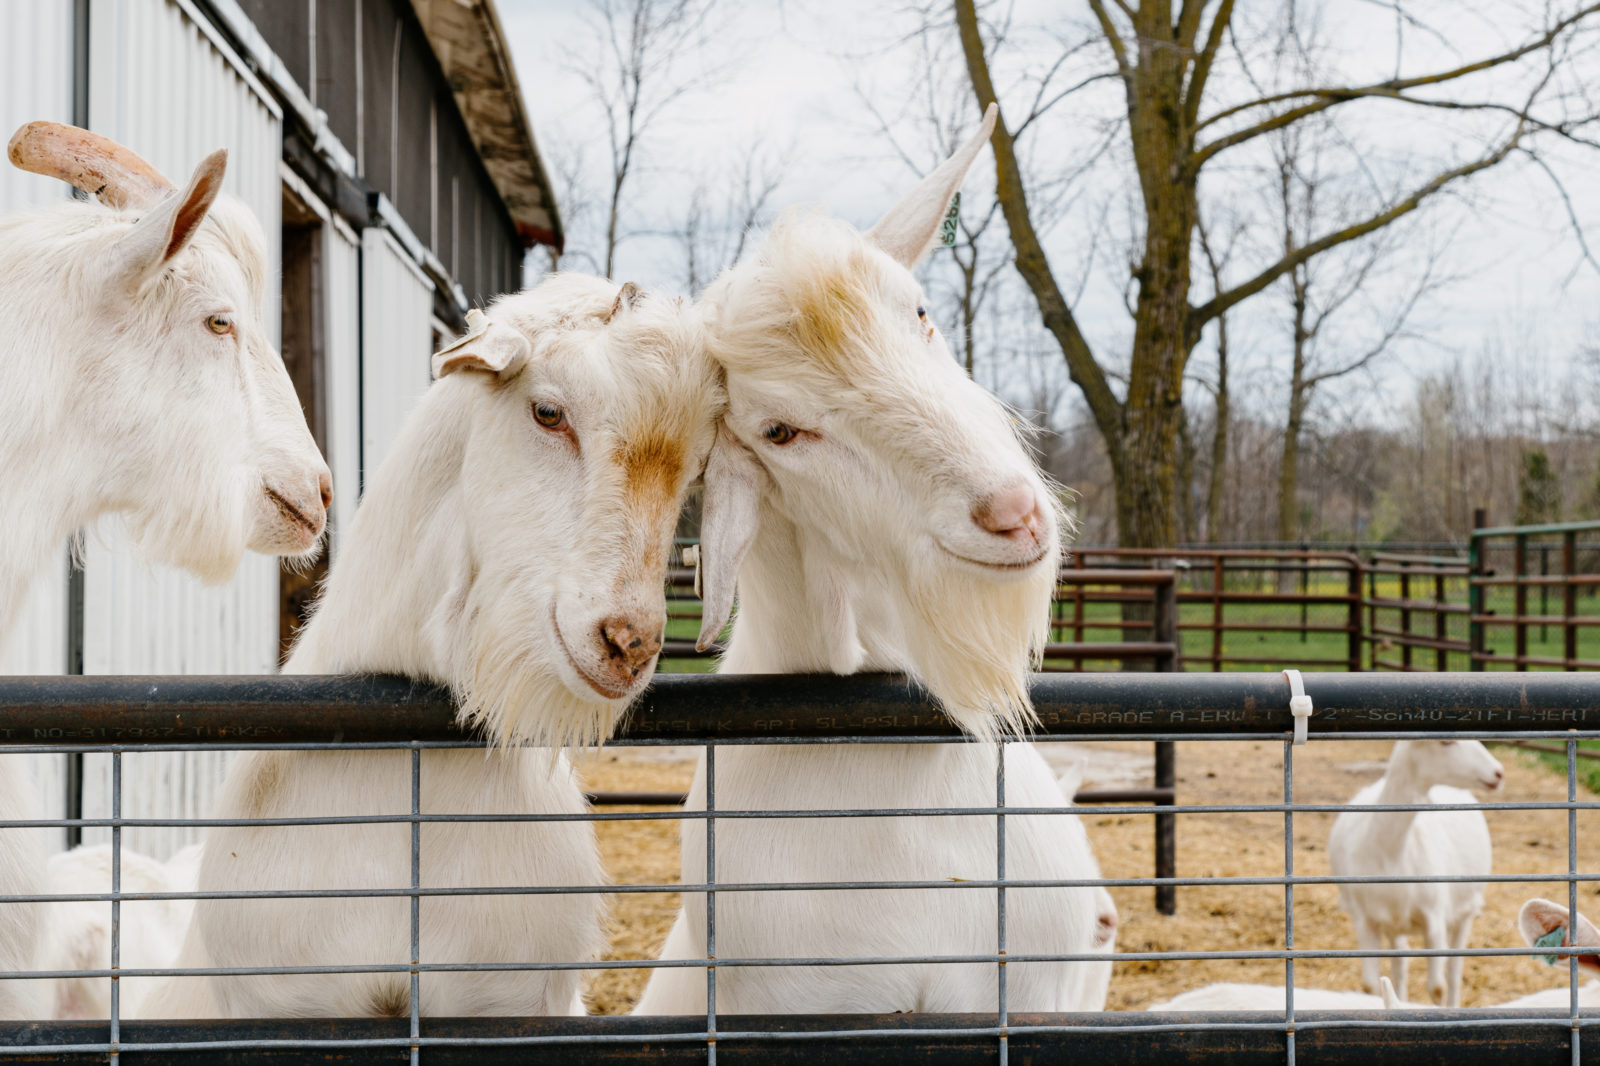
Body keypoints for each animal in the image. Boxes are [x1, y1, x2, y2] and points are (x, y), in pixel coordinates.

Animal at [1327, 739, 1503, 1006]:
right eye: (1446, 741)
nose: (1498, 773)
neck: (1390, 854)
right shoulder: (1365, 919)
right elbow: (1370, 985)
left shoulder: (1436, 915)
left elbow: (1438, 988)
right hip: (1395, 923)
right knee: (1401, 963)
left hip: (1467, 909)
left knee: (1454, 971)